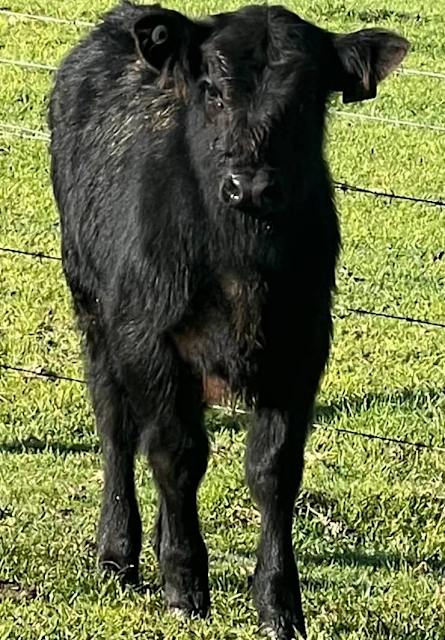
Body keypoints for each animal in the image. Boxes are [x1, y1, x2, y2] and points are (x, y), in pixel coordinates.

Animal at [49, 3, 408, 637]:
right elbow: (176, 455)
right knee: (117, 426)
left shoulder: (301, 349)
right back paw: (118, 552)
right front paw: (185, 583)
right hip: (92, 309)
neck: (241, 264)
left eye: (307, 98)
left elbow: (274, 472)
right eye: (212, 91)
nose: (252, 186)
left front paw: (279, 602)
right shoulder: (148, 339)